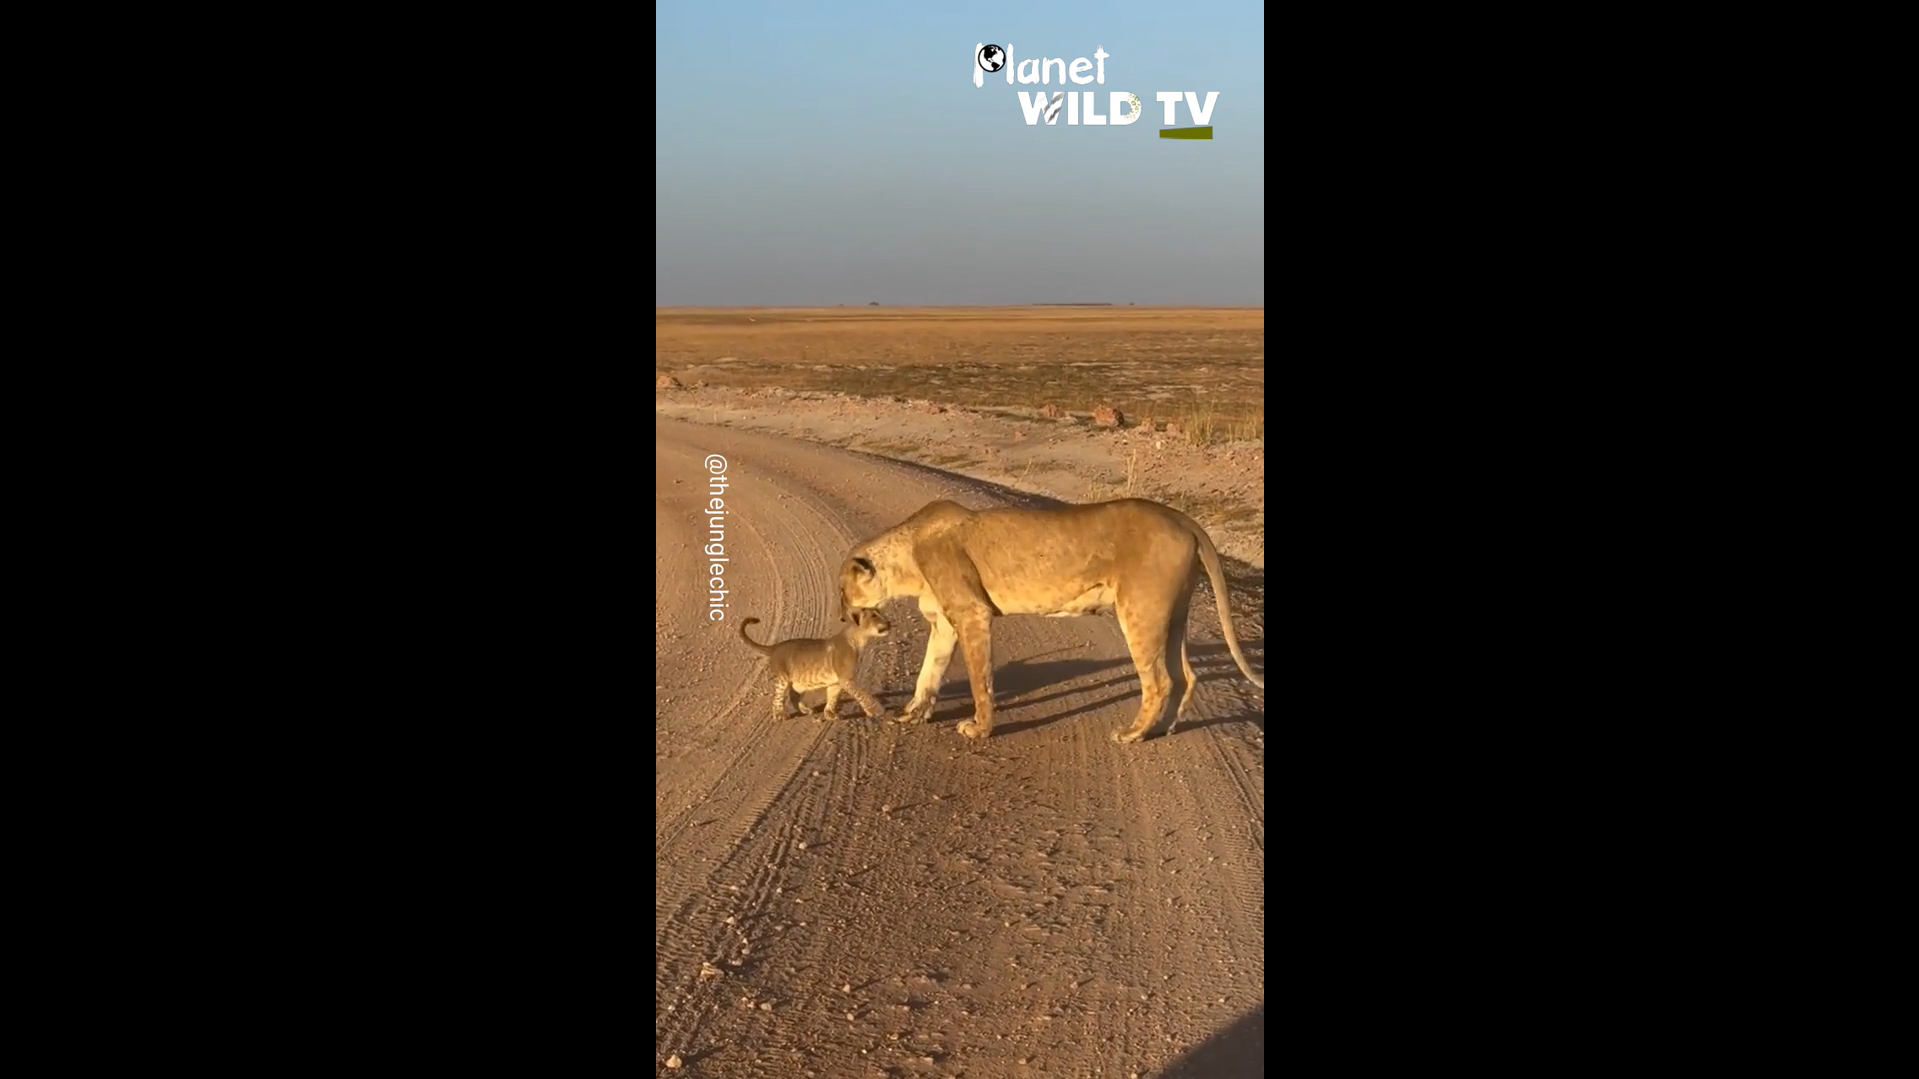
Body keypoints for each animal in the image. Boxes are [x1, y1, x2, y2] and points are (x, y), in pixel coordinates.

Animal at [836, 498, 1263, 743]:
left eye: (842, 589)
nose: (840, 614)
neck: (906, 554)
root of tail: (1181, 517)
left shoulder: (972, 614)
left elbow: (979, 680)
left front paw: (979, 730)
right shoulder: (943, 622)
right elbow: (929, 673)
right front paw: (912, 714)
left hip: (1141, 609)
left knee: (1159, 681)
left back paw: (1131, 734)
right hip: (1174, 614)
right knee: (1186, 675)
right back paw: (1160, 729)